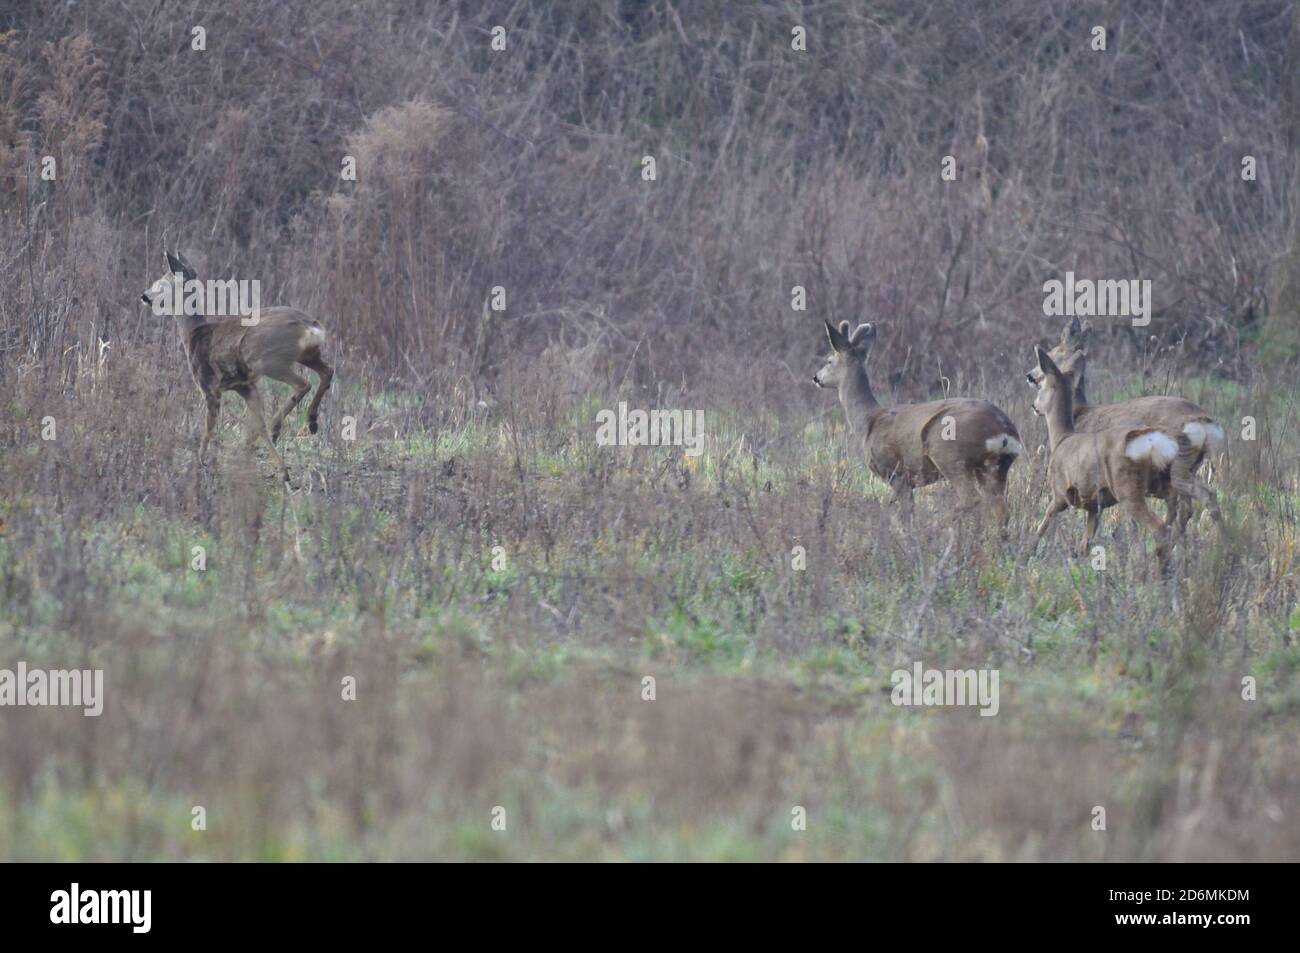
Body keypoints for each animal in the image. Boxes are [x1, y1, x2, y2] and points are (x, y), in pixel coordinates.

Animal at [140, 250, 333, 483]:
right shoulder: (245, 386)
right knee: (327, 371)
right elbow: (258, 423)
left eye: (162, 283)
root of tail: (311, 326)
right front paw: (282, 470)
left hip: (268, 359)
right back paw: (311, 421)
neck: (193, 336)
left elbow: (209, 427)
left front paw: (199, 463)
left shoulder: (209, 384)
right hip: (307, 354)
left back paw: (278, 426)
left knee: (303, 383)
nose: (144, 296)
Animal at [812, 320, 1022, 527]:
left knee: (970, 498)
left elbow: (903, 513)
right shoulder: (906, 480)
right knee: (1001, 510)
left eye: (829, 360)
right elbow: (888, 505)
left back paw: (937, 528)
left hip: (949, 453)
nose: (816, 377)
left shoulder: (895, 471)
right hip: (996, 466)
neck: (868, 421)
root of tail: (1004, 431)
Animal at [1026, 317, 1223, 533]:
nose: (1029, 375)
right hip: (1189, 466)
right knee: (1194, 505)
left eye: (1054, 352)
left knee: (1198, 499)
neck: (1076, 415)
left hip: (1179, 464)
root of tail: (1205, 423)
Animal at [1026, 345, 1190, 571]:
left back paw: (1157, 572)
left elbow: (1043, 524)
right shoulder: (1094, 505)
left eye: (1041, 385)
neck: (1061, 438)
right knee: (1176, 509)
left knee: (1159, 528)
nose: (1034, 406)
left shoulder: (1059, 492)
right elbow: (1084, 545)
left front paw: (1025, 554)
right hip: (1158, 482)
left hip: (1127, 487)